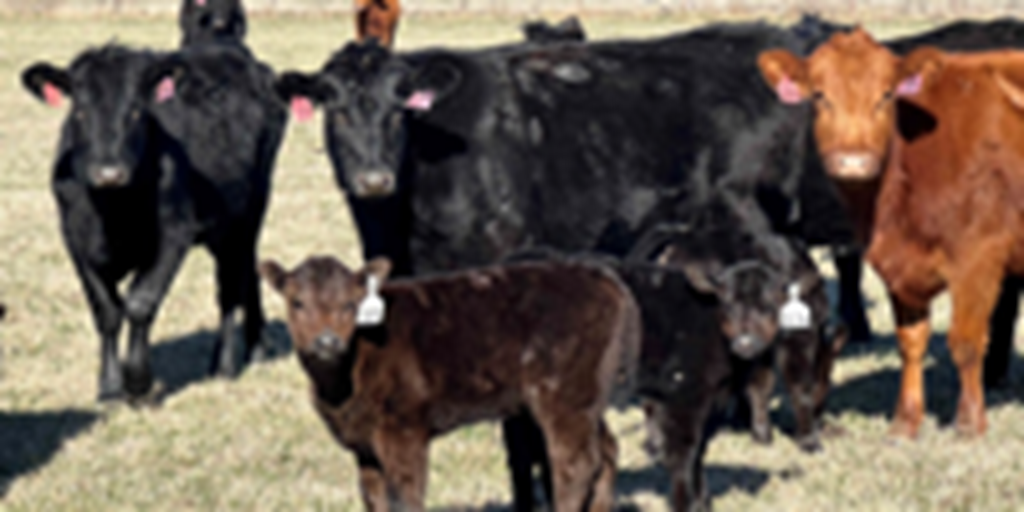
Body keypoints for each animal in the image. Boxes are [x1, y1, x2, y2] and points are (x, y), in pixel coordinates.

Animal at [21, 44, 285, 402]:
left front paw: (138, 383)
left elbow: (139, 303)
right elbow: (106, 311)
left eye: (136, 112)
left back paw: (225, 365)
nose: (109, 172)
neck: (114, 211)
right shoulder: (75, 237)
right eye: (80, 111)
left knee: (230, 285)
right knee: (246, 272)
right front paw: (109, 387)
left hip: (250, 209)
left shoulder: (174, 234)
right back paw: (257, 348)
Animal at [260, 255, 639, 511]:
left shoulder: (404, 428)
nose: (327, 342)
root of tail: (605, 280)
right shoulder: (362, 442)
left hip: (564, 394)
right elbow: (373, 496)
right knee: (606, 451)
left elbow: (407, 495)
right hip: (587, 397)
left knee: (574, 464)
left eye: (350, 304)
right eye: (297, 302)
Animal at [758, 28, 1024, 438]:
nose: (853, 161)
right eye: (819, 95)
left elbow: (965, 342)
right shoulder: (898, 266)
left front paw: (969, 421)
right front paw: (906, 420)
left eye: (886, 95)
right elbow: (910, 342)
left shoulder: (978, 259)